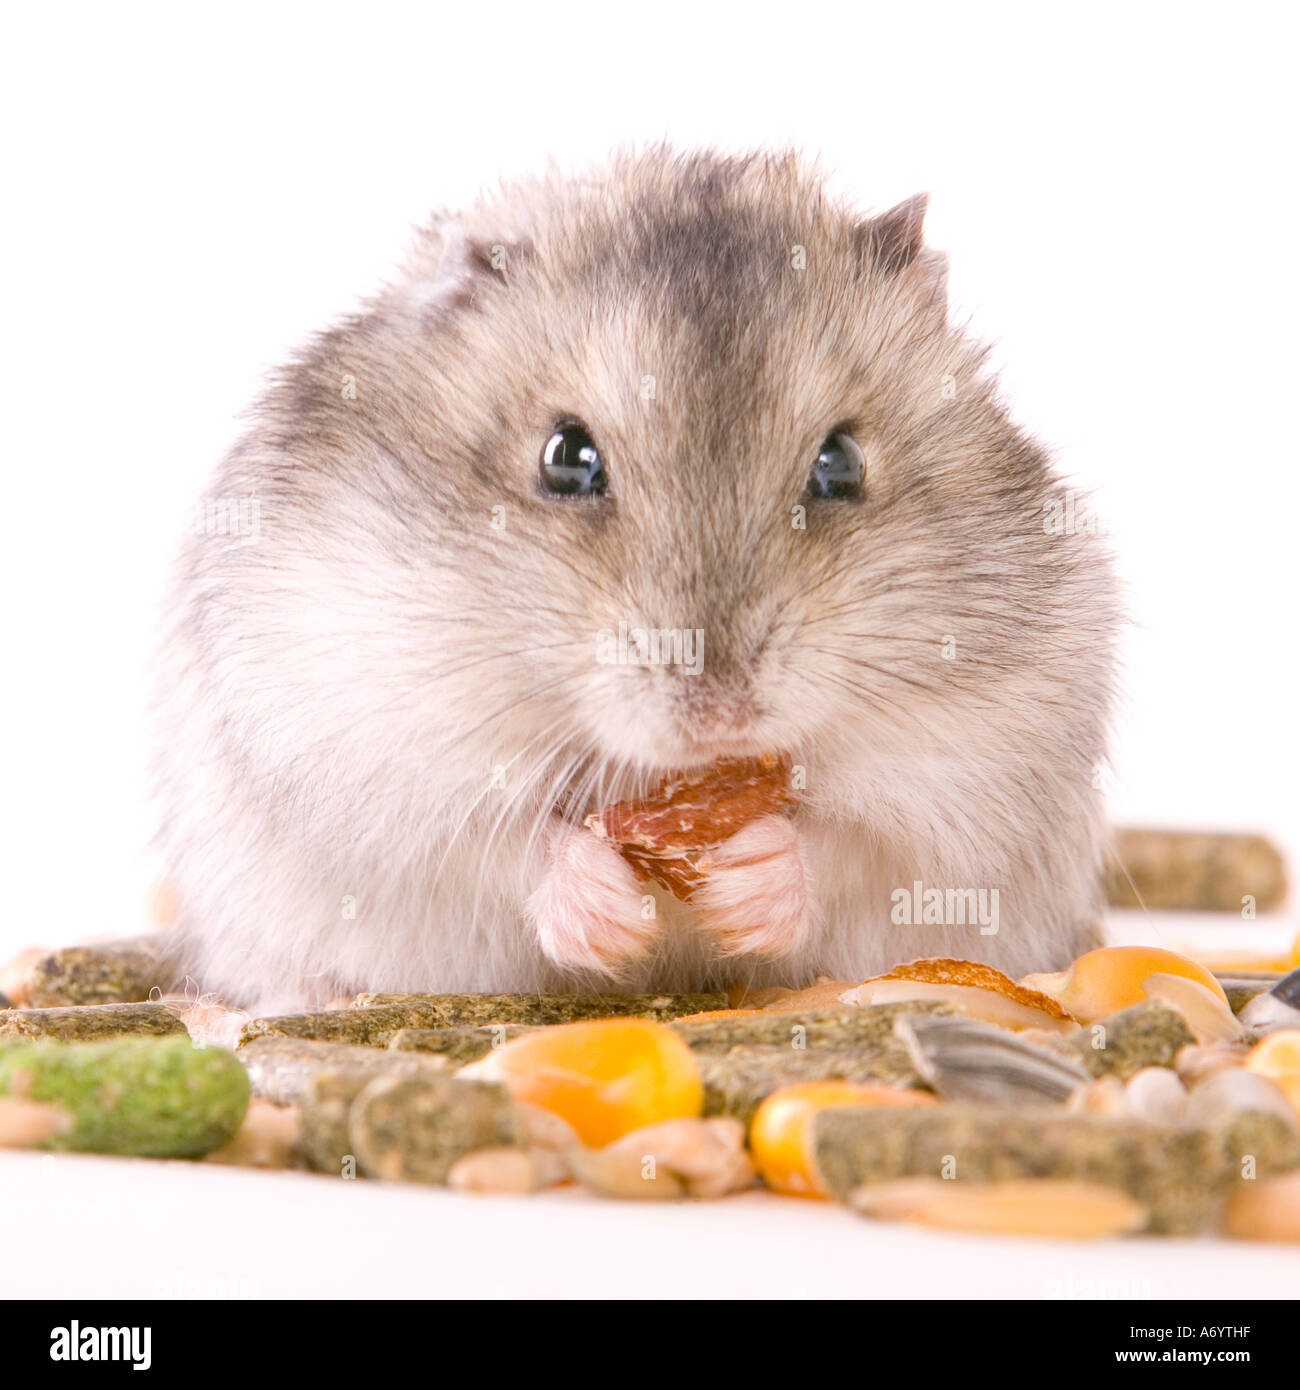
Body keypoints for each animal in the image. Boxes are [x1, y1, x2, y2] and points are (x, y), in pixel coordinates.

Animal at [153, 148, 1120, 1013]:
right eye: (567, 459)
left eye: (840, 463)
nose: (722, 719)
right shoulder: (361, 741)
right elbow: (496, 847)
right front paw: (613, 922)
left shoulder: (988, 763)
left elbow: (854, 843)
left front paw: (744, 883)